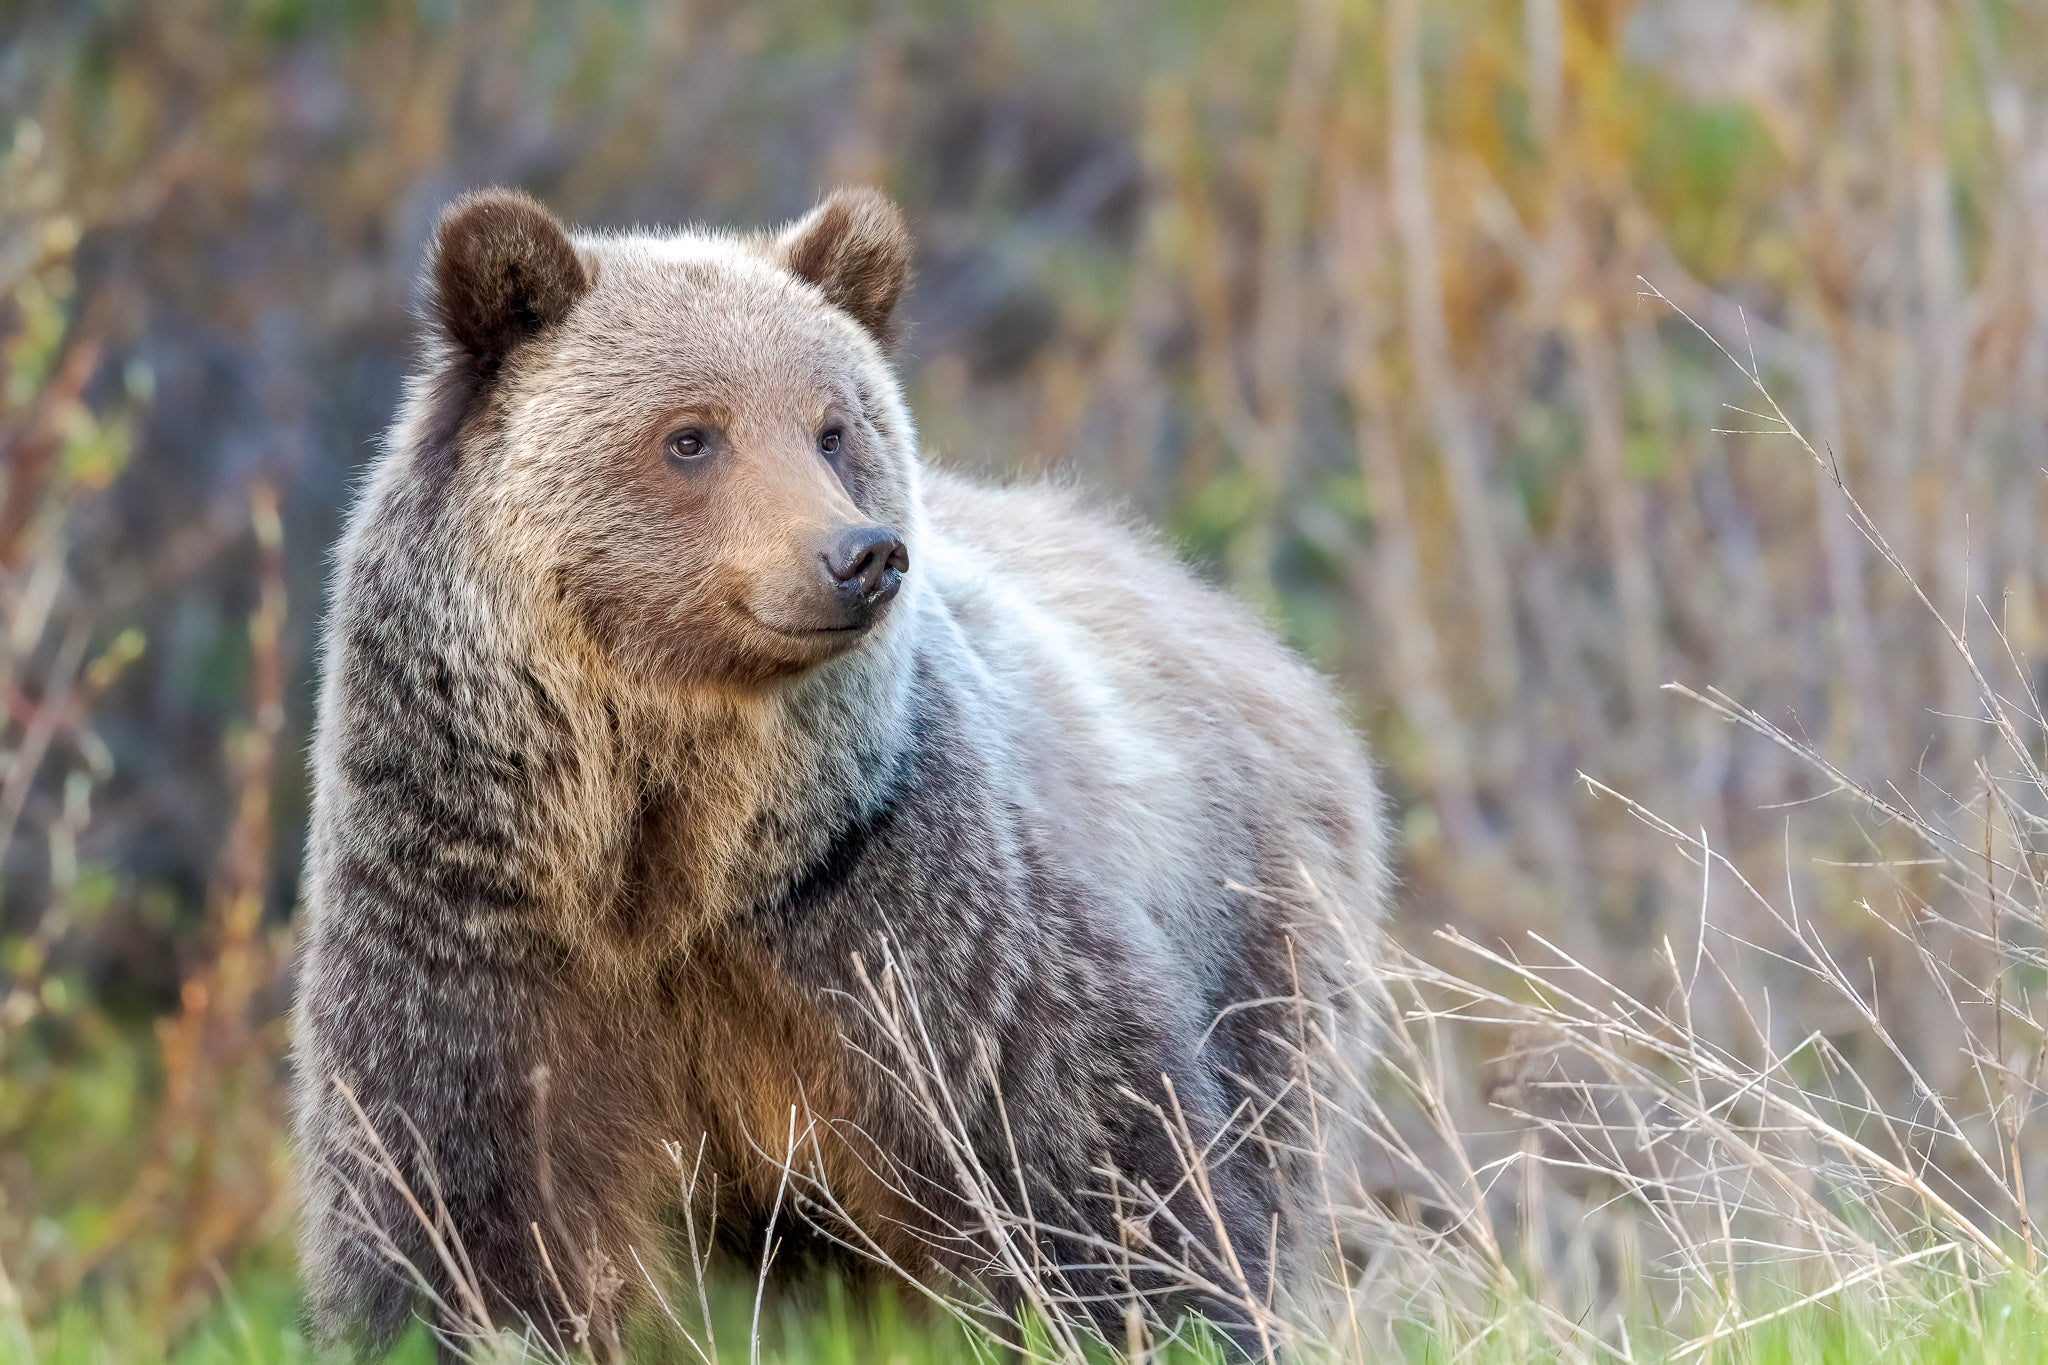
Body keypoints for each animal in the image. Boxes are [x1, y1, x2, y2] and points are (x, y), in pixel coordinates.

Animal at [291, 185, 1390, 1361]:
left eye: (833, 426)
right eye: (690, 435)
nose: (860, 554)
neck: (664, 851)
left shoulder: (894, 908)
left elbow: (1082, 1146)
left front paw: (1154, 1310)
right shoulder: (475, 925)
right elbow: (465, 1215)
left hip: (1253, 922)